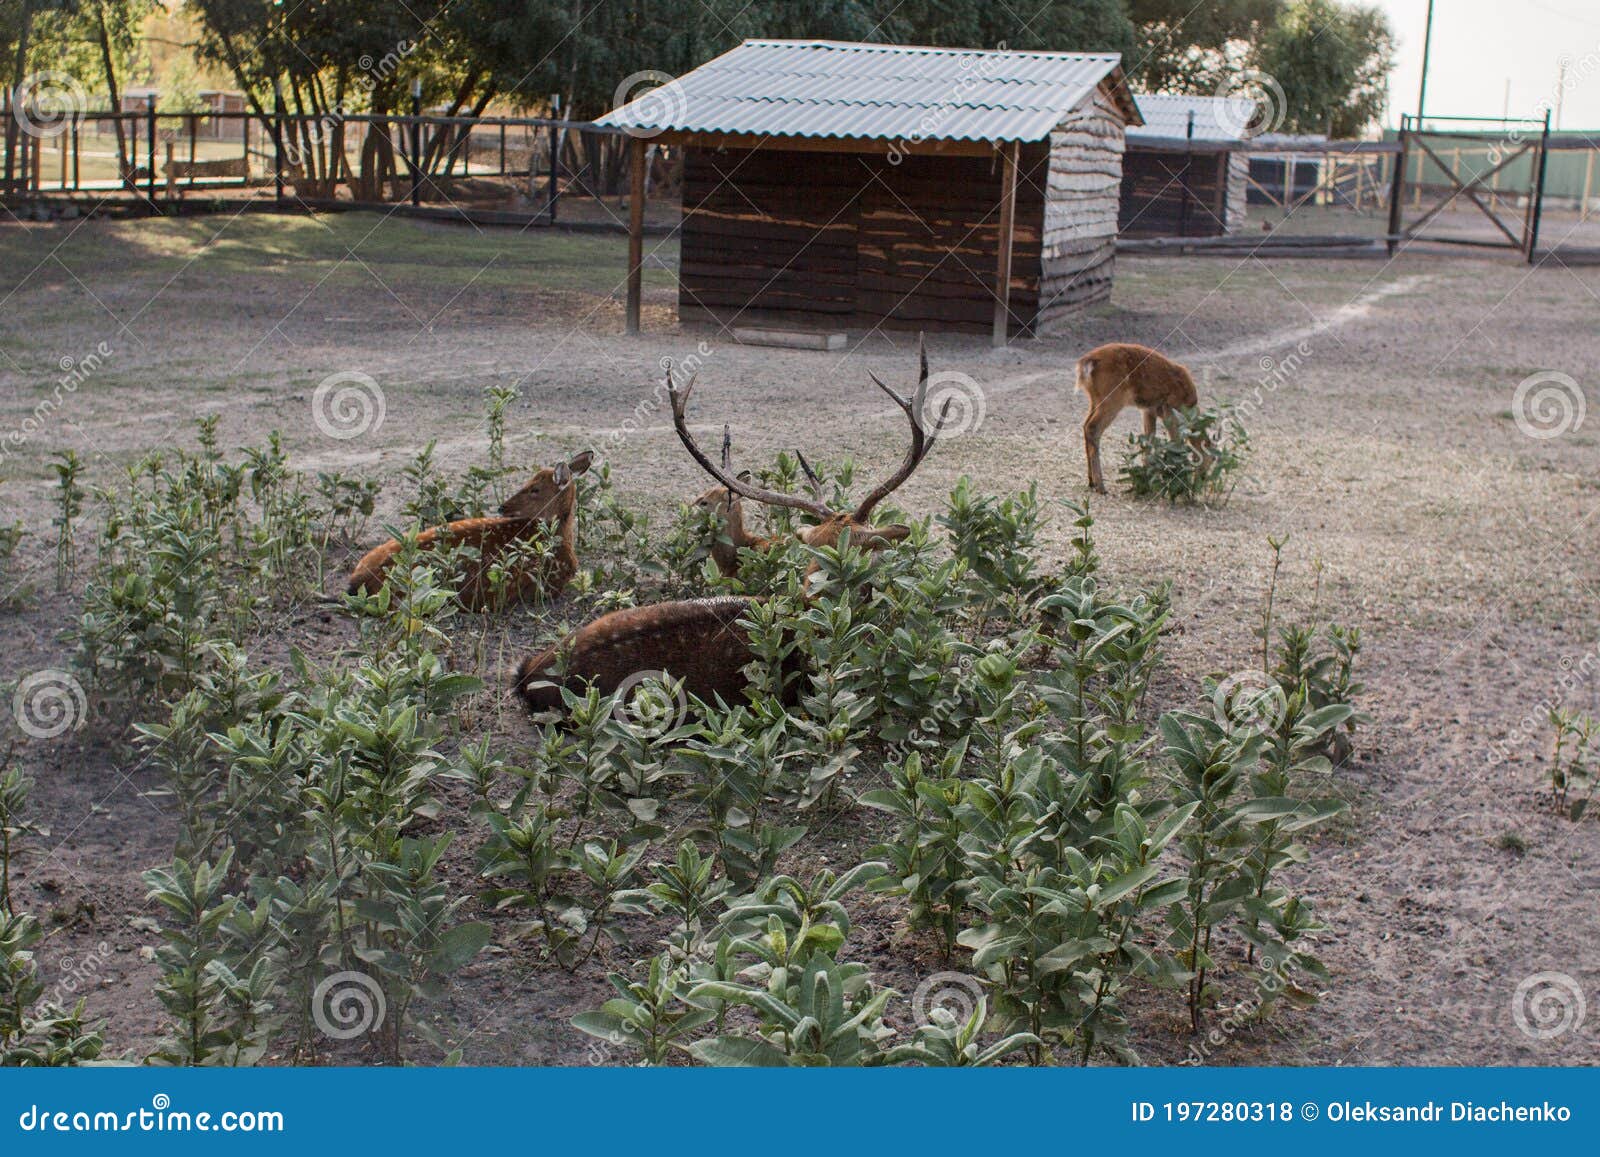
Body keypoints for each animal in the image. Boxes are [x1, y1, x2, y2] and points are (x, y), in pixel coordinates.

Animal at [1076, 343, 1205, 494]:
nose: (1203, 480)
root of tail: (1087, 362)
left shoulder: (1149, 409)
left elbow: (1149, 438)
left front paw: (1148, 480)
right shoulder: (1164, 405)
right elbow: (1173, 437)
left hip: (1096, 398)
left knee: (1085, 425)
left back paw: (1091, 481)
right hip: (1113, 398)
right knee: (1092, 427)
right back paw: (1101, 486)